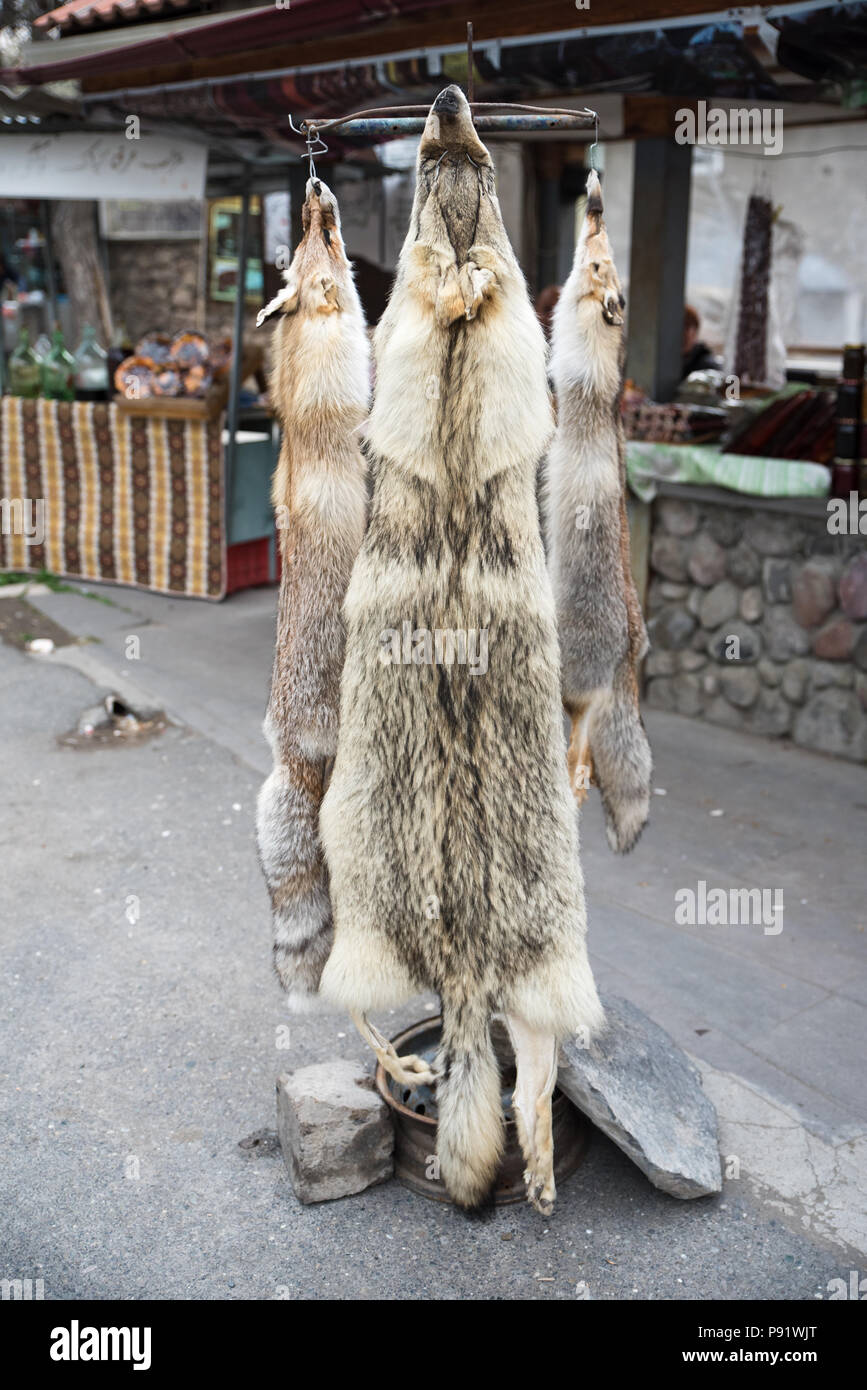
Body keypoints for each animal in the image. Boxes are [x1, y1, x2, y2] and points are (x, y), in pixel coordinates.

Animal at [319, 87, 604, 1212]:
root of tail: (466, 956)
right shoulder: (418, 308)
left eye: (477, 148)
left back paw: (527, 1157)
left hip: (535, 962)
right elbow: (443, 292)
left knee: (531, 1063)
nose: (443, 98)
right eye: (446, 148)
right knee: (388, 1023)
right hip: (377, 930)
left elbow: (483, 292)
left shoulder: (491, 310)